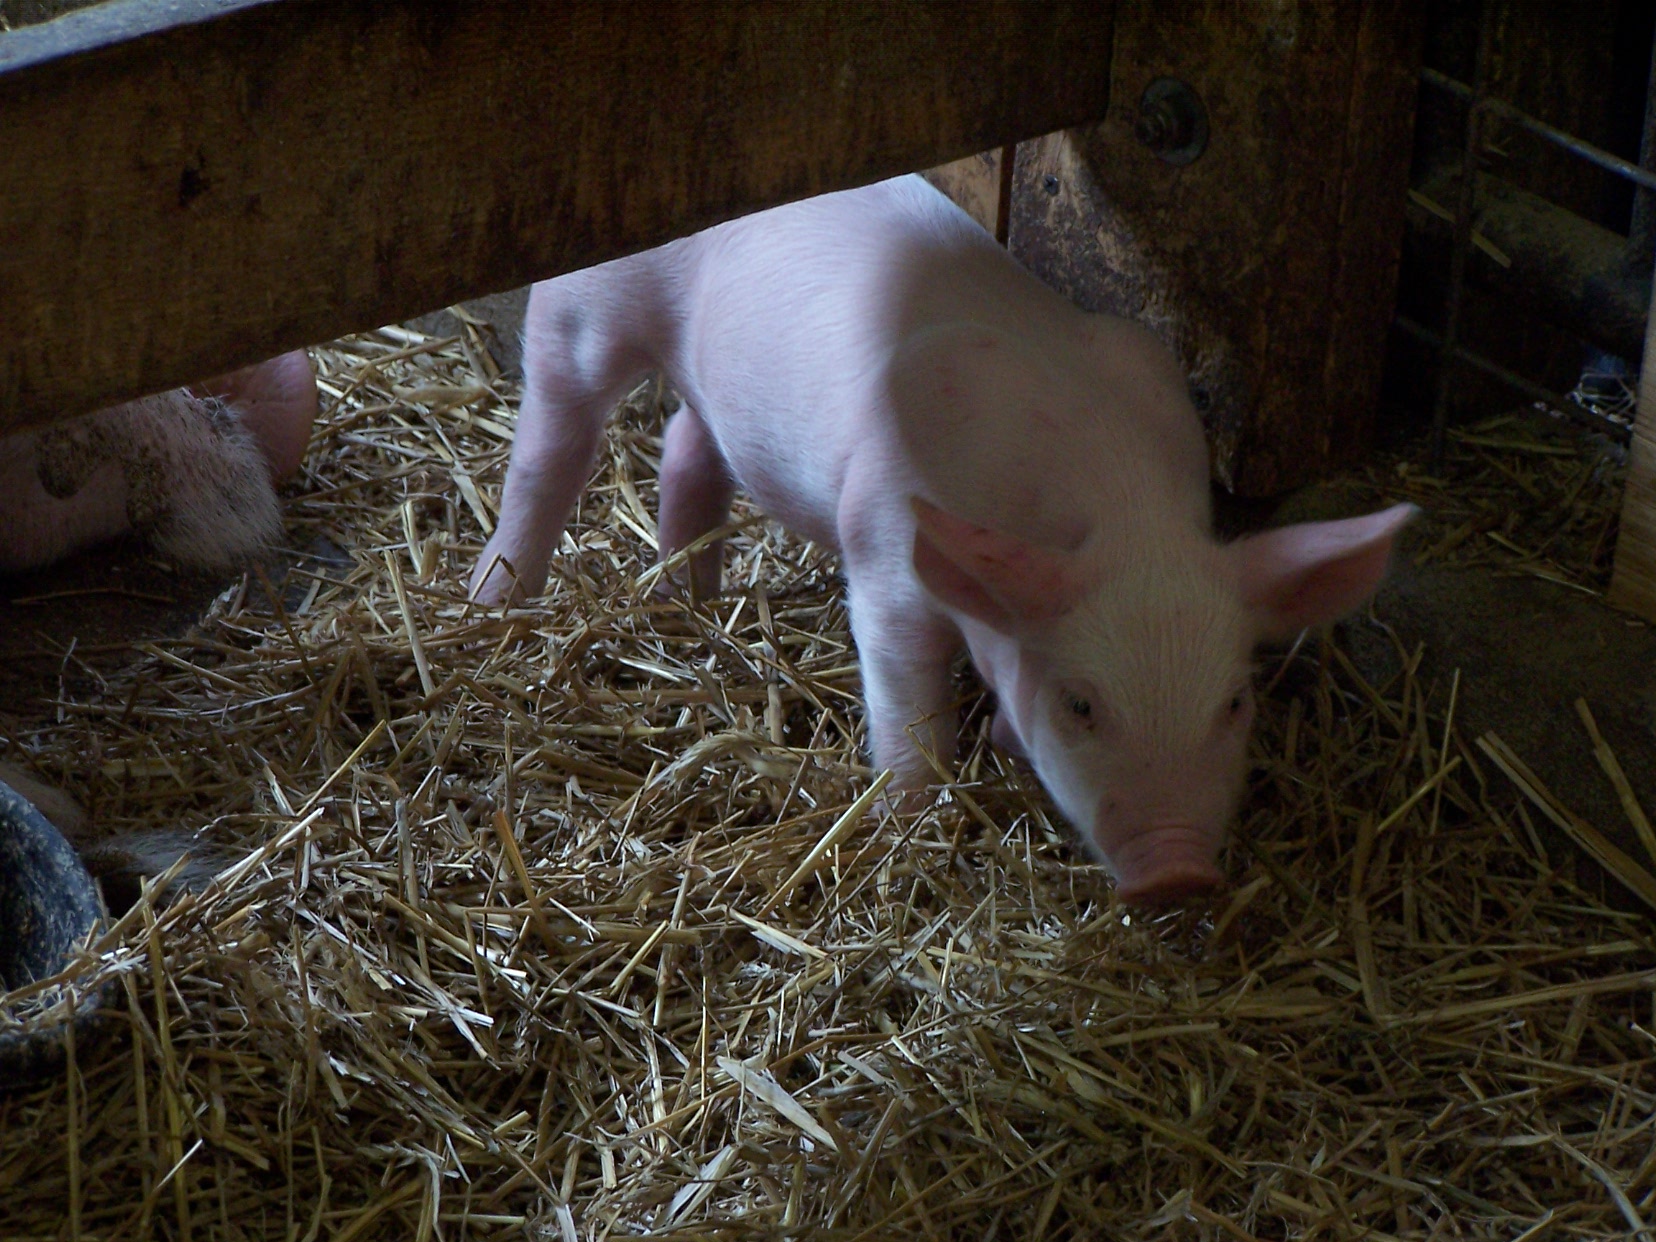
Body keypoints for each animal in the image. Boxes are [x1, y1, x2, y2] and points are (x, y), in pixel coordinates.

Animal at [470, 175, 1413, 904]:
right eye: (1080, 704)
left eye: (1235, 703)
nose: (1180, 874)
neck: (1115, 502)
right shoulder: (886, 553)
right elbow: (906, 694)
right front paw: (914, 821)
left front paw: (996, 744)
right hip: (595, 299)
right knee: (553, 433)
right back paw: (496, 600)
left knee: (684, 444)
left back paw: (687, 603)